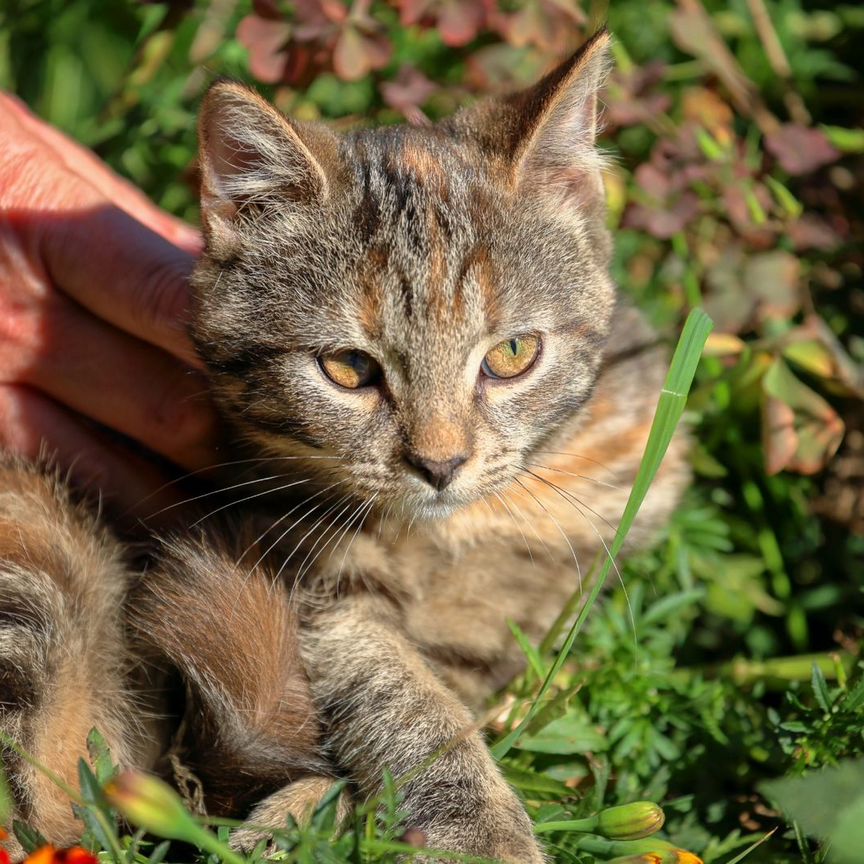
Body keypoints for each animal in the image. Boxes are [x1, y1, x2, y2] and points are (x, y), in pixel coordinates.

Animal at [0, 27, 688, 864]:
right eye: (349, 369)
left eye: (514, 353)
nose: (440, 464)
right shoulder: (308, 568)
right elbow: (399, 694)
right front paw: (477, 825)